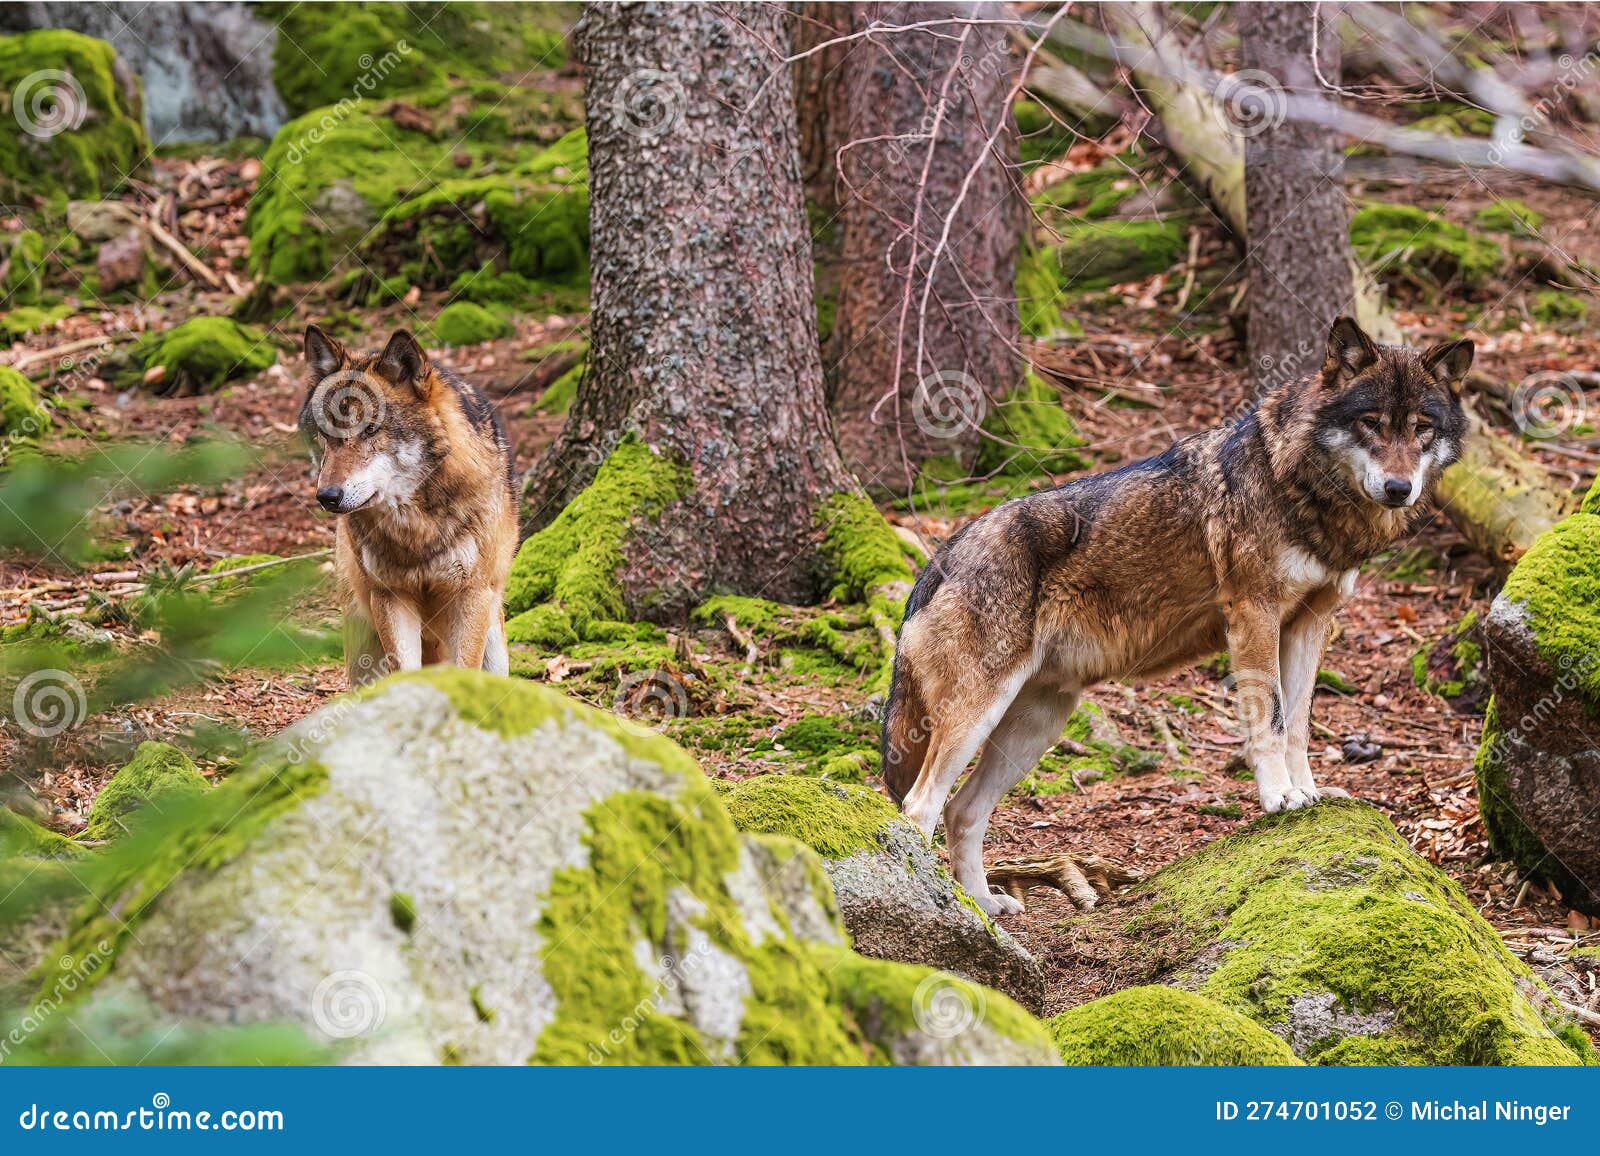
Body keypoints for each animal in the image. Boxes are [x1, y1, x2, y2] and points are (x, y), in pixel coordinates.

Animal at [299, 325, 517, 685]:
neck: (416, 526)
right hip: (362, 643)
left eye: (371, 429)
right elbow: (404, 671)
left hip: (494, 641)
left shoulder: (471, 594)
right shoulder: (390, 596)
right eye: (325, 434)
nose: (327, 496)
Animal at [881, 318, 1473, 916]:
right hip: (977, 718)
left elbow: (1299, 723)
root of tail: (938, 560)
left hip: (1036, 726)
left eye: (1421, 429)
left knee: (962, 811)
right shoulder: (1254, 614)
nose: (1399, 489)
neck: (1297, 483)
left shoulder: (1310, 623)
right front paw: (1279, 797)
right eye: (1370, 423)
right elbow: (1270, 720)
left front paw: (1309, 791)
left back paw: (986, 908)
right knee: (918, 808)